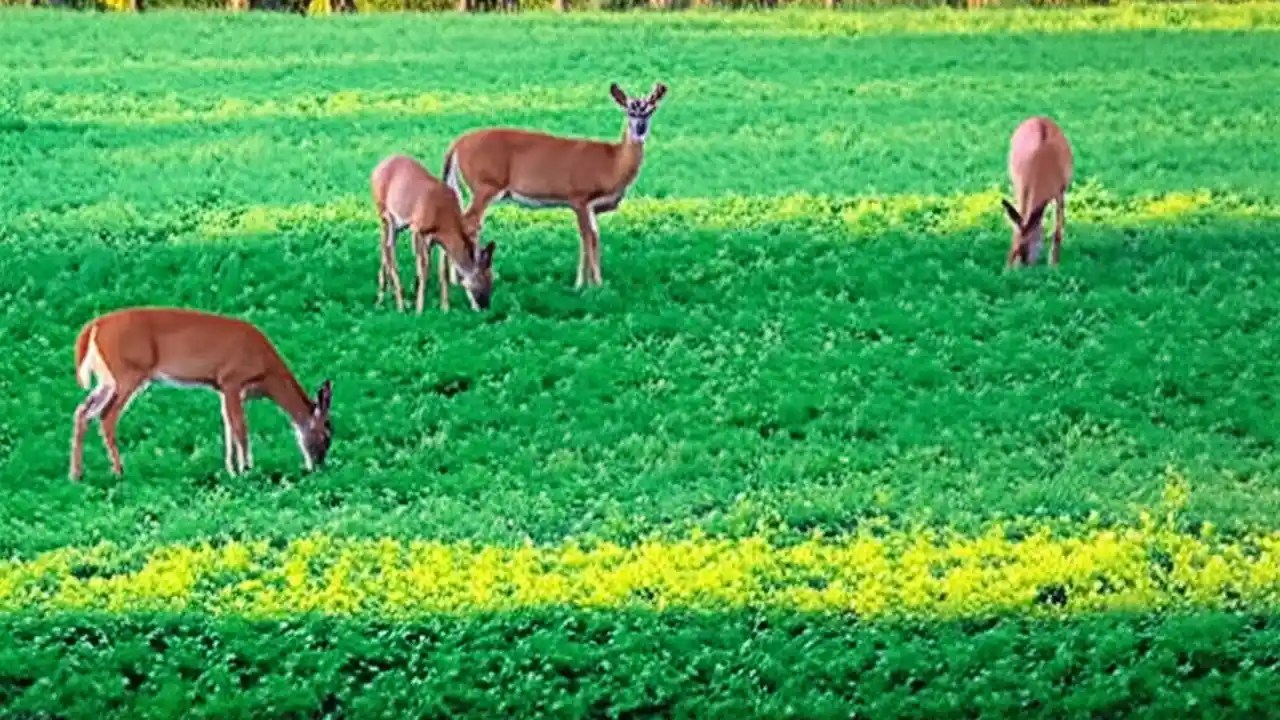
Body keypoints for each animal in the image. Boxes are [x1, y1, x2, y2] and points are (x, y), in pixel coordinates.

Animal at [69, 307, 334, 481]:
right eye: (327, 435)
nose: (318, 466)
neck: (266, 372)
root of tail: (94, 327)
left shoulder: (224, 389)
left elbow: (228, 426)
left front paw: (231, 469)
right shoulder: (231, 380)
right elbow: (240, 428)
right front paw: (246, 469)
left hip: (108, 378)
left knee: (83, 411)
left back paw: (76, 474)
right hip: (128, 372)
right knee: (107, 416)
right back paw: (118, 471)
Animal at [371, 153, 497, 313]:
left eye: (492, 279)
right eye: (483, 279)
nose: (485, 306)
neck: (444, 217)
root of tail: (378, 167)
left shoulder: (440, 239)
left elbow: (443, 270)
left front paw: (445, 307)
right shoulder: (419, 229)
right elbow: (424, 269)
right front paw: (419, 309)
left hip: (397, 225)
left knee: (384, 251)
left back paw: (383, 297)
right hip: (384, 214)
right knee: (388, 252)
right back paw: (396, 303)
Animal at [440, 81, 668, 289]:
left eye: (651, 110)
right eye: (629, 111)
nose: (640, 130)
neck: (612, 163)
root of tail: (456, 144)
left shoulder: (592, 207)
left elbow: (594, 237)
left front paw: (590, 282)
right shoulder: (579, 196)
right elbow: (587, 237)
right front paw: (587, 284)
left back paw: (455, 279)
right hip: (485, 185)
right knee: (468, 223)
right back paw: (461, 279)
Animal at [1001, 115, 1074, 269]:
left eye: (1030, 243)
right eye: (1015, 248)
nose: (1024, 264)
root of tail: (1039, 117)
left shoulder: (1060, 191)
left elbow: (1057, 229)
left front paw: (1053, 263)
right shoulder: (1022, 188)